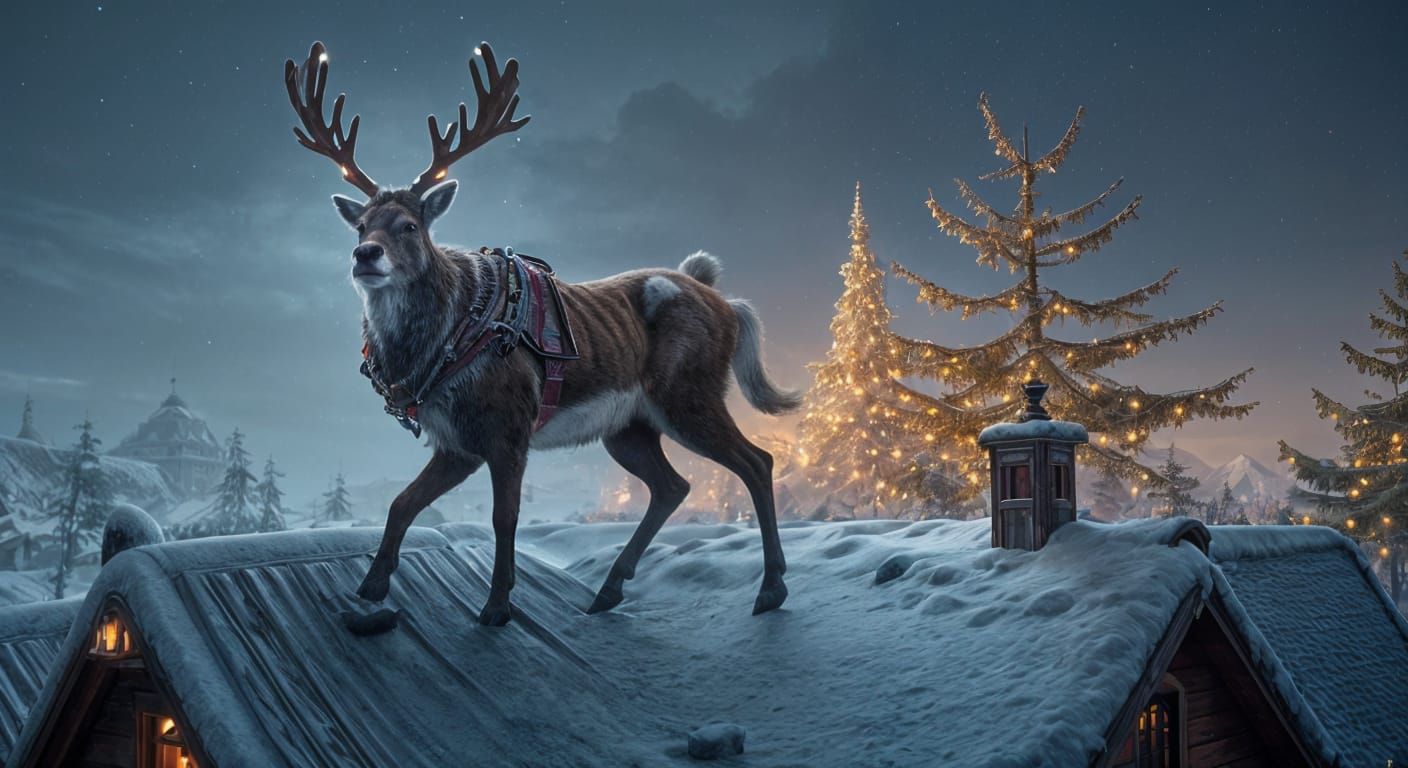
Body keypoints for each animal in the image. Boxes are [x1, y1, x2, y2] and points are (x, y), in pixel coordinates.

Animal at [283, 41, 800, 626]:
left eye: (410, 226)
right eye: (360, 226)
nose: (365, 255)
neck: (438, 343)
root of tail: (727, 302)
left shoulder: (508, 428)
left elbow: (502, 518)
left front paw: (496, 606)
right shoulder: (456, 441)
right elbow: (402, 503)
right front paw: (371, 585)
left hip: (689, 393)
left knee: (756, 461)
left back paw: (771, 588)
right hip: (629, 426)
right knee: (673, 484)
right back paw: (609, 590)